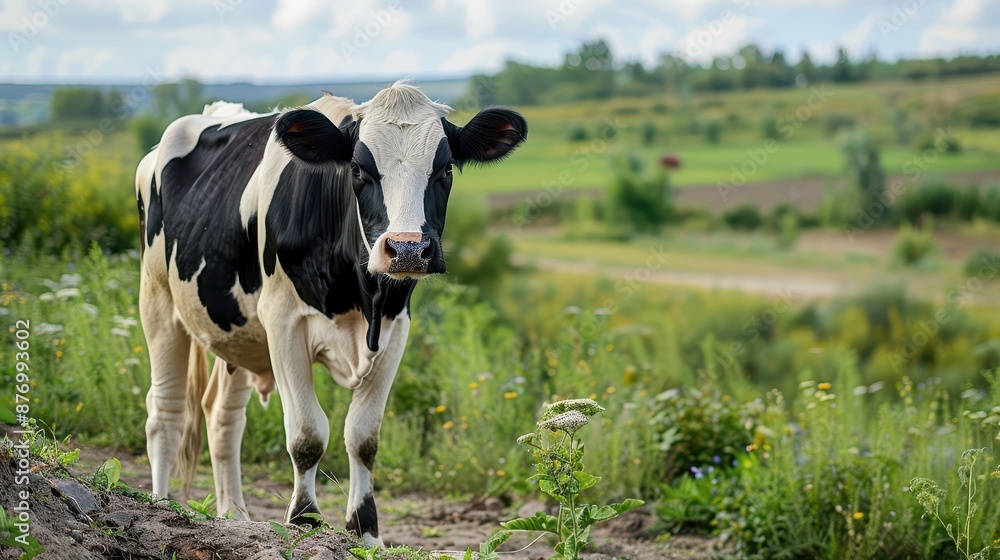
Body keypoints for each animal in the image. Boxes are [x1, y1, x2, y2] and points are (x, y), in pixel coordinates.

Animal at [135, 82, 526, 546]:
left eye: (445, 168)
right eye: (358, 169)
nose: (408, 249)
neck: (360, 295)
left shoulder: (396, 328)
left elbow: (363, 436)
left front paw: (365, 528)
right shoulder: (283, 322)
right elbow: (307, 433)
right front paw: (304, 519)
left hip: (237, 334)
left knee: (221, 415)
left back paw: (234, 516)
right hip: (157, 301)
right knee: (166, 412)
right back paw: (162, 506)